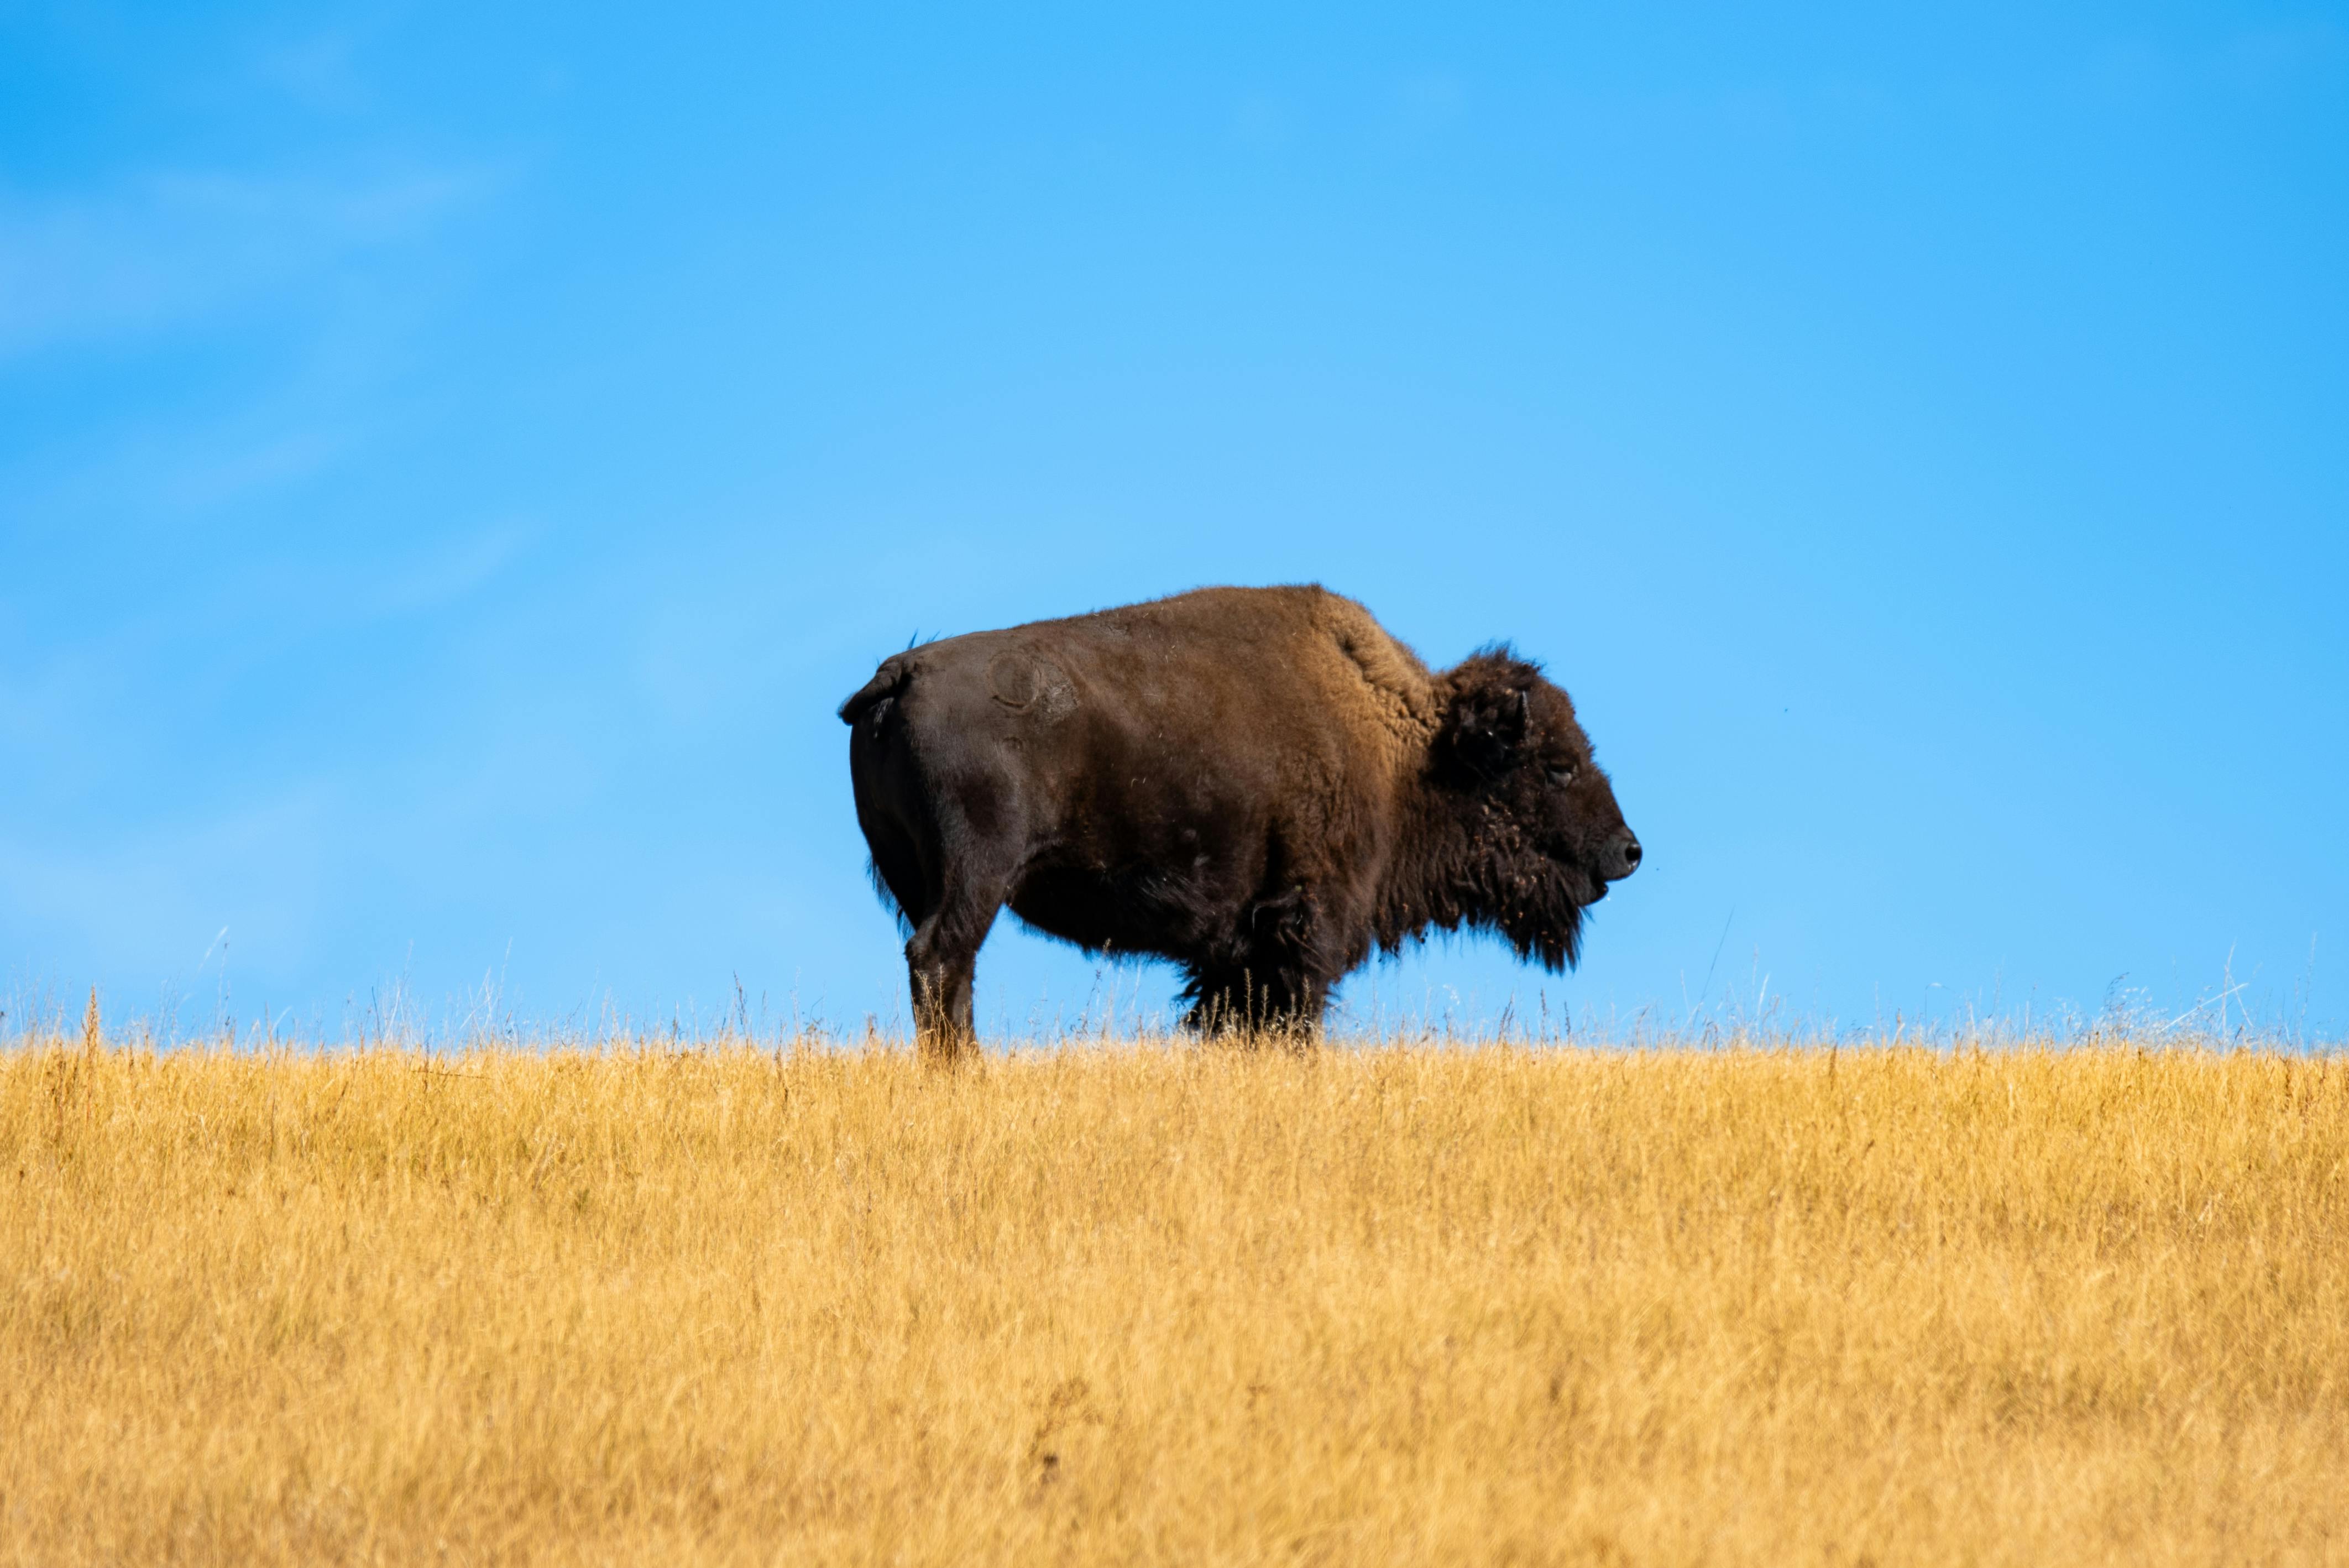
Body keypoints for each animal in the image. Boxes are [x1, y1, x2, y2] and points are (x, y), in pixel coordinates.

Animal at [839, 585, 1639, 1060]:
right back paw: (968, 1071)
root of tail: (900, 675)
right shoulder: (1301, 929)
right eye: (1556, 765)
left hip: (910, 875)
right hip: (977, 875)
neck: (1404, 747)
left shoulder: (1232, 953)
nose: (1628, 851)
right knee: (943, 958)